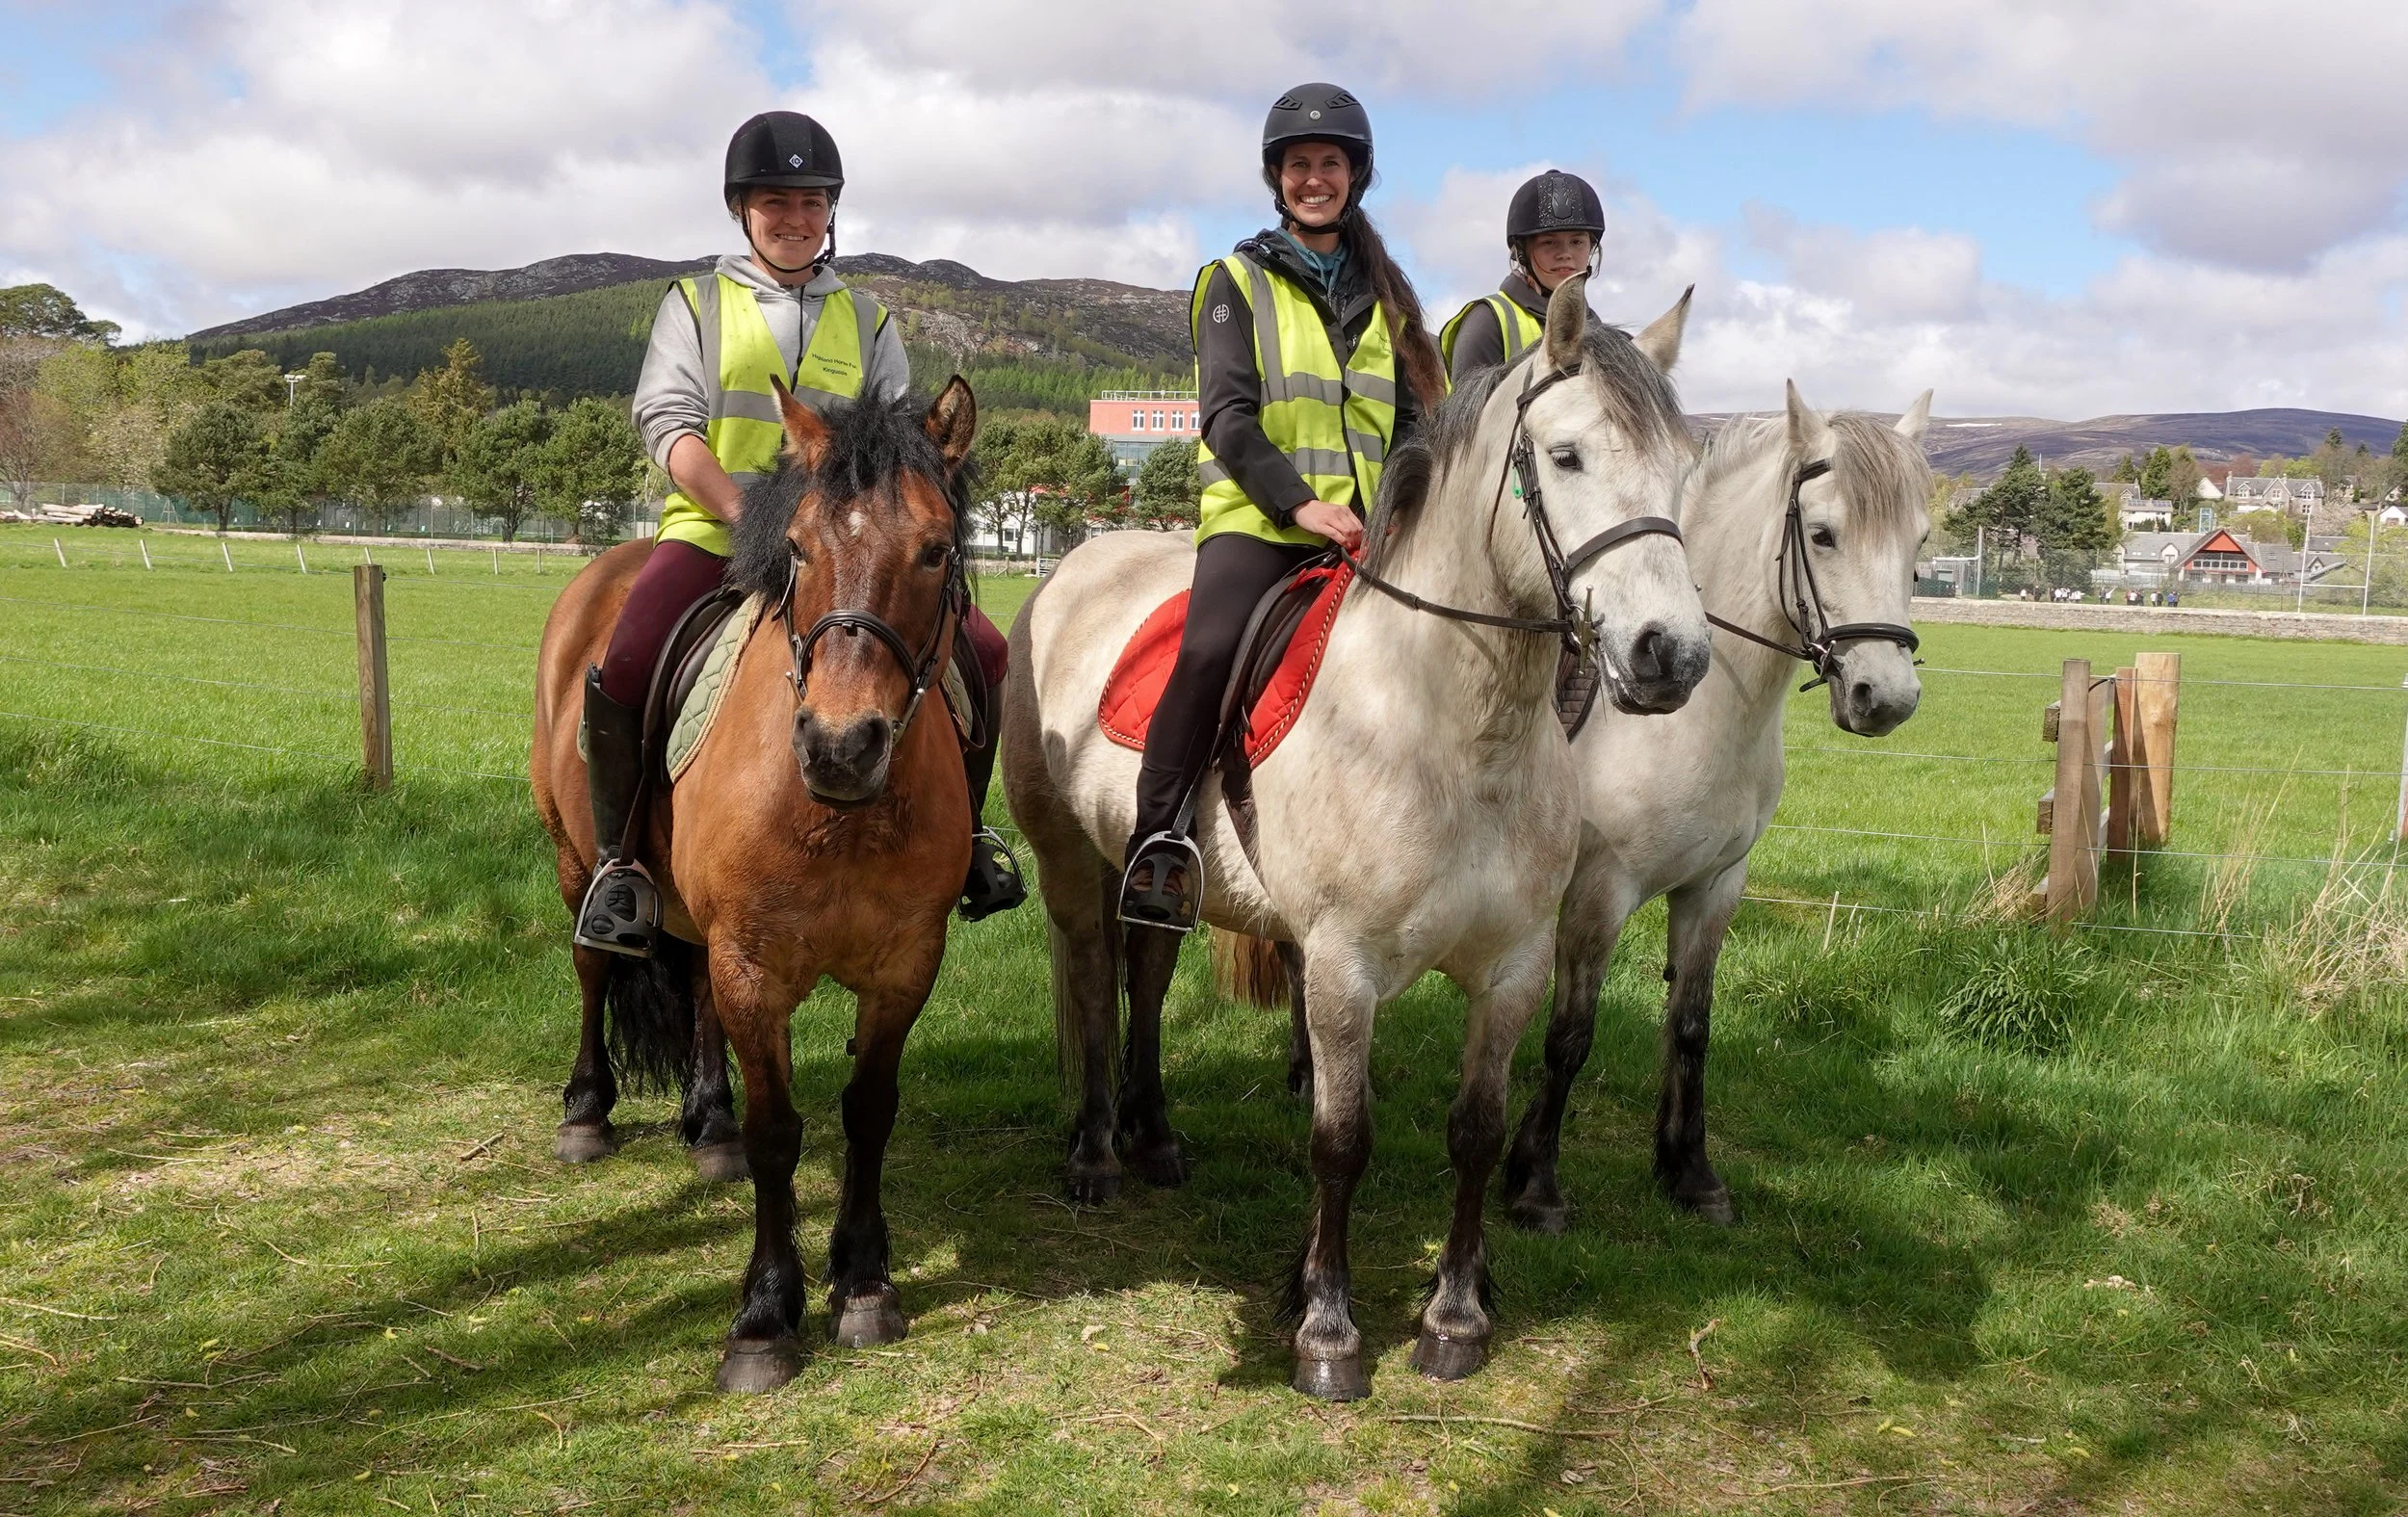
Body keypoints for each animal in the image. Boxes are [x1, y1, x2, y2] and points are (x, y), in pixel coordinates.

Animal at [530, 379, 980, 1393]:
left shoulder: (907, 962)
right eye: (801, 548)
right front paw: (767, 1313)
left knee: (692, 984)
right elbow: (782, 1130)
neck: (839, 813)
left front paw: (864, 1280)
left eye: (935, 549)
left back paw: (710, 1122)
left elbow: (868, 1111)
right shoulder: (753, 963)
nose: (841, 744)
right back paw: (587, 1109)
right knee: (590, 967)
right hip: (578, 861)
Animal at [1001, 278, 1711, 1400]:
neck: (1453, 735)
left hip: (1155, 876)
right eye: (1564, 457)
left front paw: (1455, 1316)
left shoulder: (1514, 967)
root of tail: (1081, 562)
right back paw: (1097, 1155)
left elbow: (1476, 1133)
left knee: (1145, 976)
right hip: (1069, 863)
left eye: (1684, 473)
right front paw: (1326, 1329)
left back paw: (1154, 1139)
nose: (1668, 657)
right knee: (1090, 982)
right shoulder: (1339, 966)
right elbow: (1340, 1138)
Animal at [1496, 381, 1934, 1232]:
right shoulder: (1599, 893)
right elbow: (1570, 1034)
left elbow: (1692, 1027)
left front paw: (1689, 1171)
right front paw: (1534, 1182)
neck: (1695, 716)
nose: (1887, 696)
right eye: (1823, 535)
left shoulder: (1716, 887)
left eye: (1920, 542)